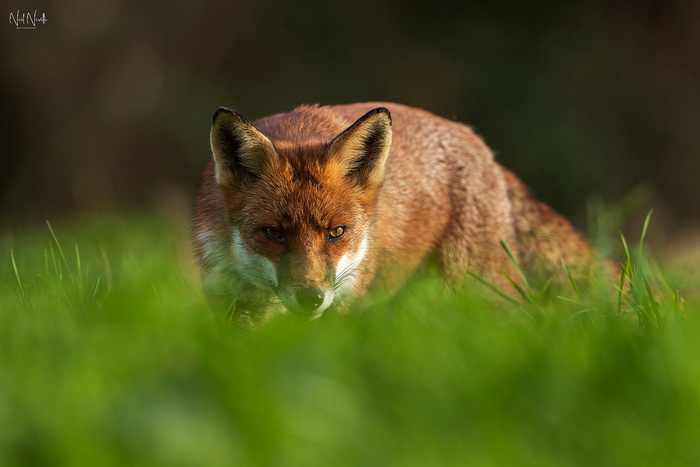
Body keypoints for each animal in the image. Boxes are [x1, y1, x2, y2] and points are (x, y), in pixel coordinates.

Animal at [192, 102, 598, 328]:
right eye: (273, 233)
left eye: (337, 232)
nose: (311, 298)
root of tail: (475, 140)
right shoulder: (229, 304)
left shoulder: (343, 301)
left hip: (474, 286)